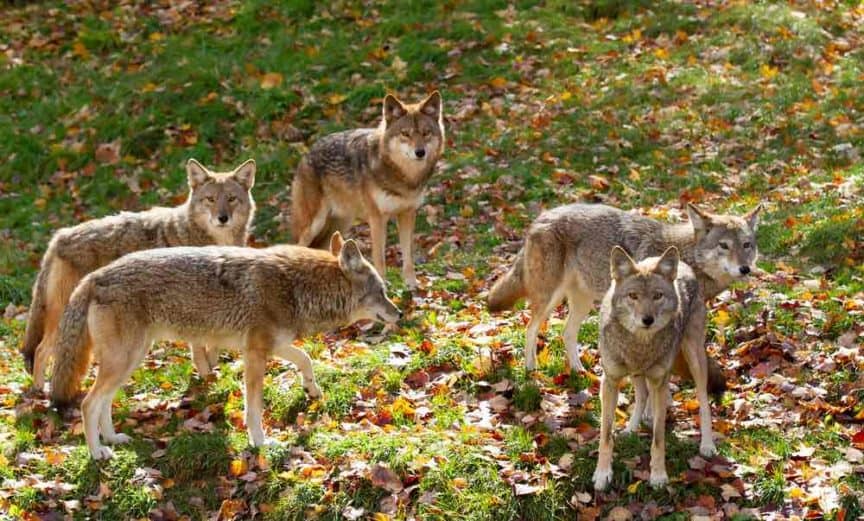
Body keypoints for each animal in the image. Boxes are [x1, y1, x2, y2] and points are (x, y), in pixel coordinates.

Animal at [21, 158, 256, 390]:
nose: (222, 218)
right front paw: (206, 373)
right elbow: (199, 347)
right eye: (210, 199)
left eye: (231, 199)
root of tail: (59, 236)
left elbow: (213, 344)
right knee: (41, 350)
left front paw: (211, 367)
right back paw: (40, 391)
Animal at [49, 232, 401, 459]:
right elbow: (254, 408)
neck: (297, 287)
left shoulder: (270, 346)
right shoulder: (256, 354)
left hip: (130, 360)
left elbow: (305, 360)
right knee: (88, 404)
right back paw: (97, 452)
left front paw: (312, 390)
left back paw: (113, 438)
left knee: (104, 402)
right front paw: (261, 443)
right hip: (124, 361)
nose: (399, 313)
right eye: (382, 291)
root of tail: (93, 277)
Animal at [291, 91, 445, 288]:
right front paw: (383, 285)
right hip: (314, 225)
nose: (420, 152)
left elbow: (408, 255)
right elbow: (379, 258)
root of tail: (305, 155)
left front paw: (412, 284)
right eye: (405, 134)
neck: (403, 177)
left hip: (341, 224)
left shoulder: (408, 214)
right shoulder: (377, 218)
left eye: (426, 133)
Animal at [487, 202, 760, 372]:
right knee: (530, 329)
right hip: (549, 299)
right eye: (724, 245)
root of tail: (540, 218)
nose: (745, 269)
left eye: (746, 245)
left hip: (583, 302)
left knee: (566, 332)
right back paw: (531, 370)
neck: (686, 259)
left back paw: (579, 371)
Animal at [593, 246, 715, 490]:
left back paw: (707, 444)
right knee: (641, 395)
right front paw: (602, 474)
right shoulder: (610, 382)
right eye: (633, 296)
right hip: (636, 373)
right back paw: (631, 428)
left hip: (695, 358)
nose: (647, 320)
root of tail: (684, 265)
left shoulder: (659, 382)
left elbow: (658, 437)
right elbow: (606, 435)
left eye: (658, 296)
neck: (640, 344)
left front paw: (658, 476)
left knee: (704, 401)